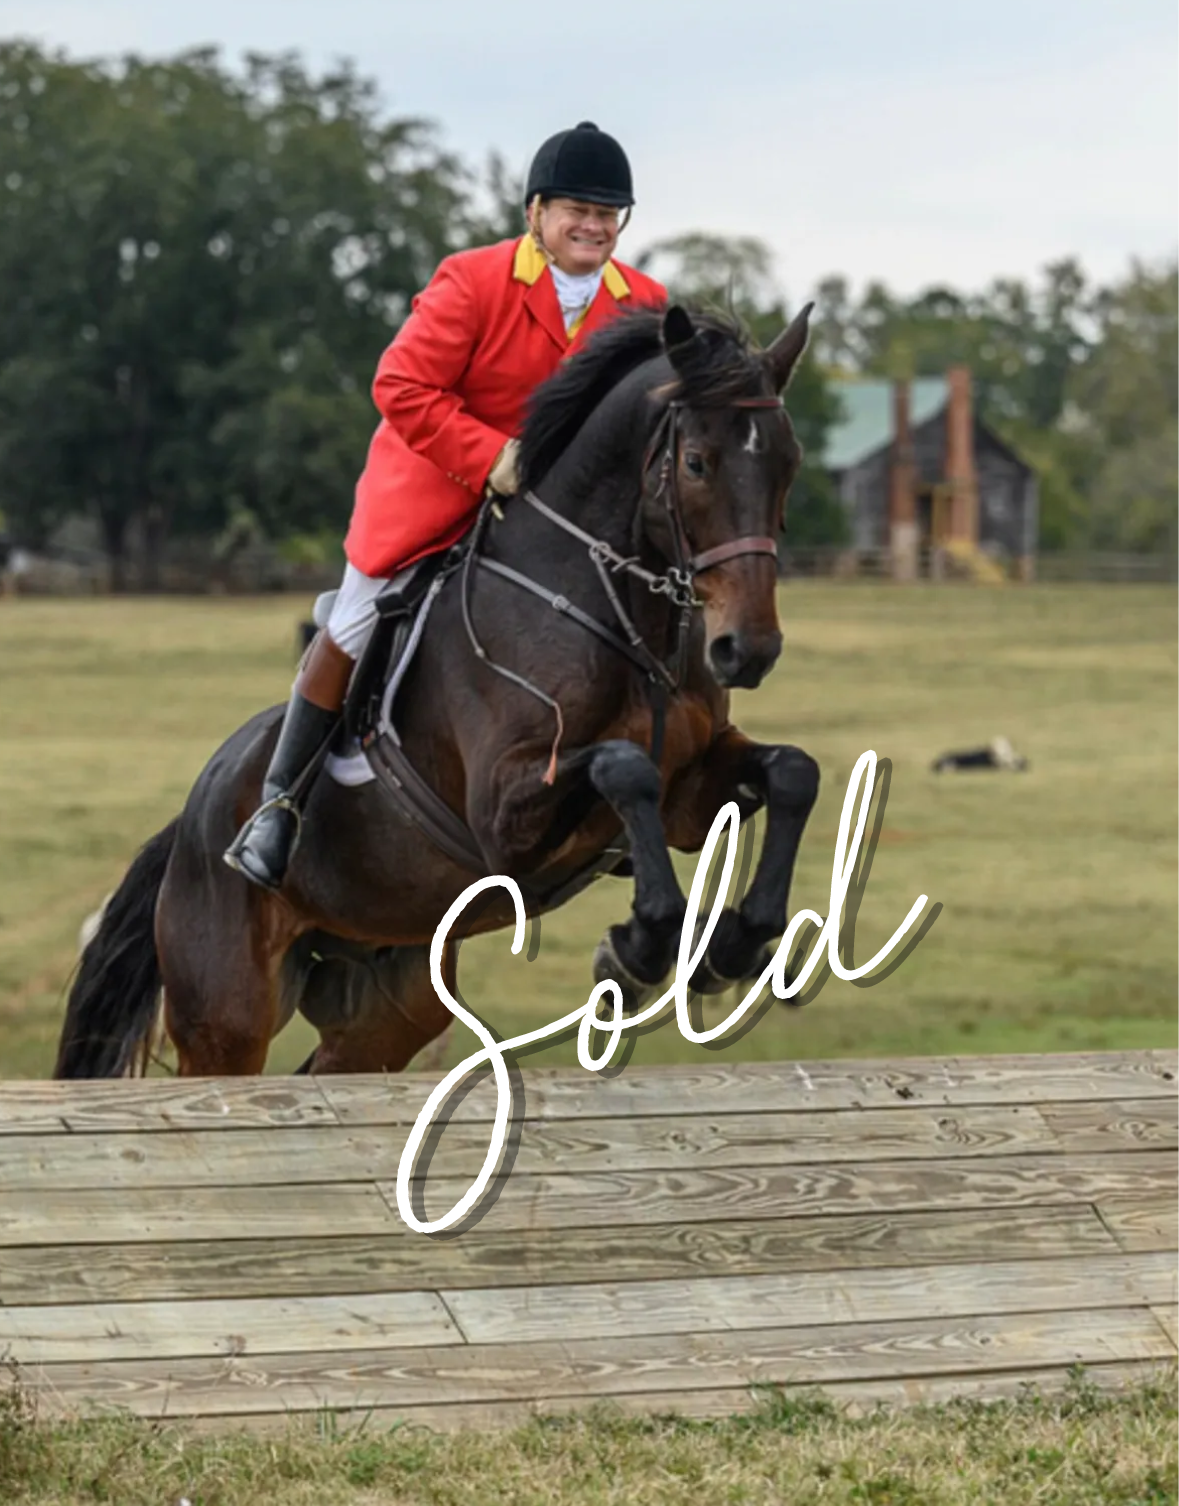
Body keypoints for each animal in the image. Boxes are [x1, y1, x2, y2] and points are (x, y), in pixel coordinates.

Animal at [54, 302, 821, 1079]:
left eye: (789, 464)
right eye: (696, 464)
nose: (747, 649)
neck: (620, 618)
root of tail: (188, 827)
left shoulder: (687, 797)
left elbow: (793, 771)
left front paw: (734, 941)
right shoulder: (505, 820)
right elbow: (622, 765)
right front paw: (638, 948)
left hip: (388, 999)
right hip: (225, 1012)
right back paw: (265, 839)